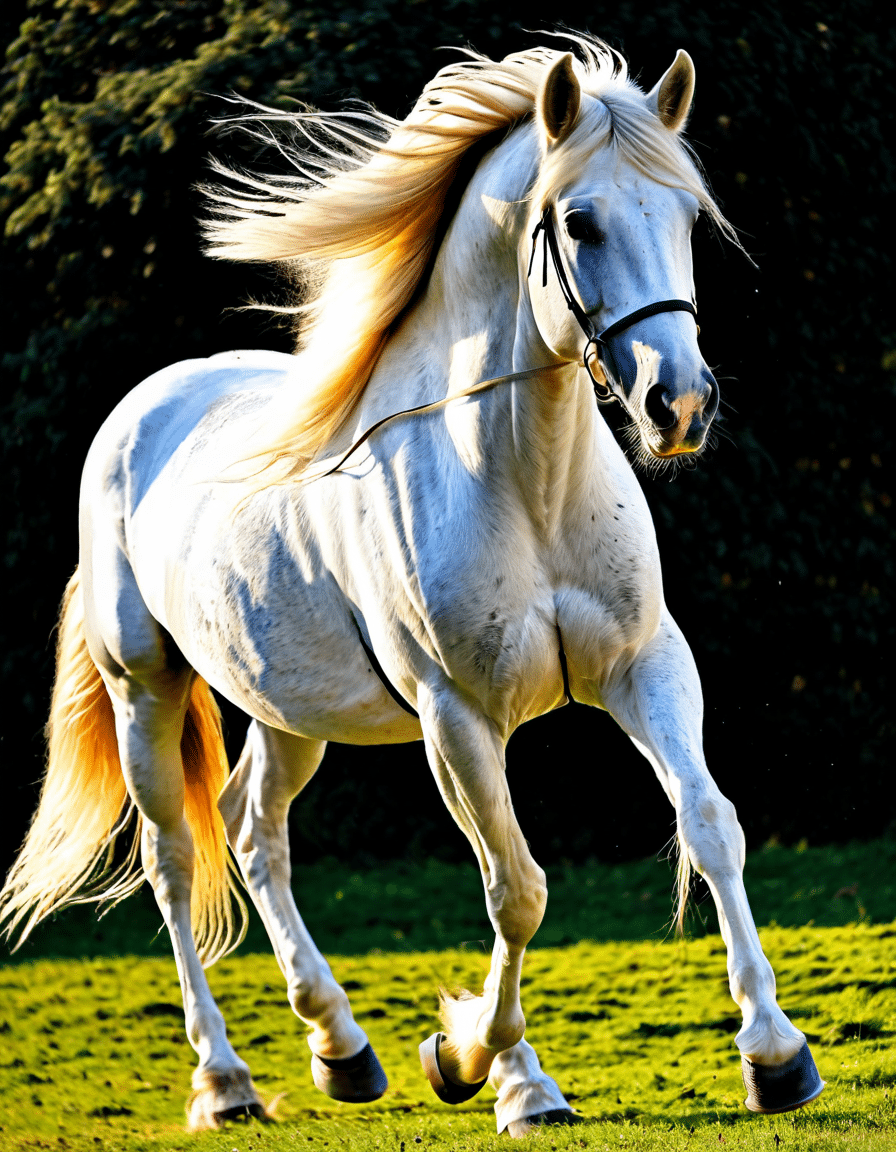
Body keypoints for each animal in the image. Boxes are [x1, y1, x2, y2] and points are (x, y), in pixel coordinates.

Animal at [1, 34, 824, 1135]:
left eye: (686, 217)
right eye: (579, 221)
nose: (677, 406)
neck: (522, 482)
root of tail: (142, 409)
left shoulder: (646, 667)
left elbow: (710, 826)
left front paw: (774, 1057)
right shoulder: (457, 717)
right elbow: (514, 887)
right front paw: (488, 1069)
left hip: (292, 709)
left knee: (253, 830)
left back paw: (340, 1050)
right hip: (146, 690)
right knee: (173, 863)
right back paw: (225, 1083)